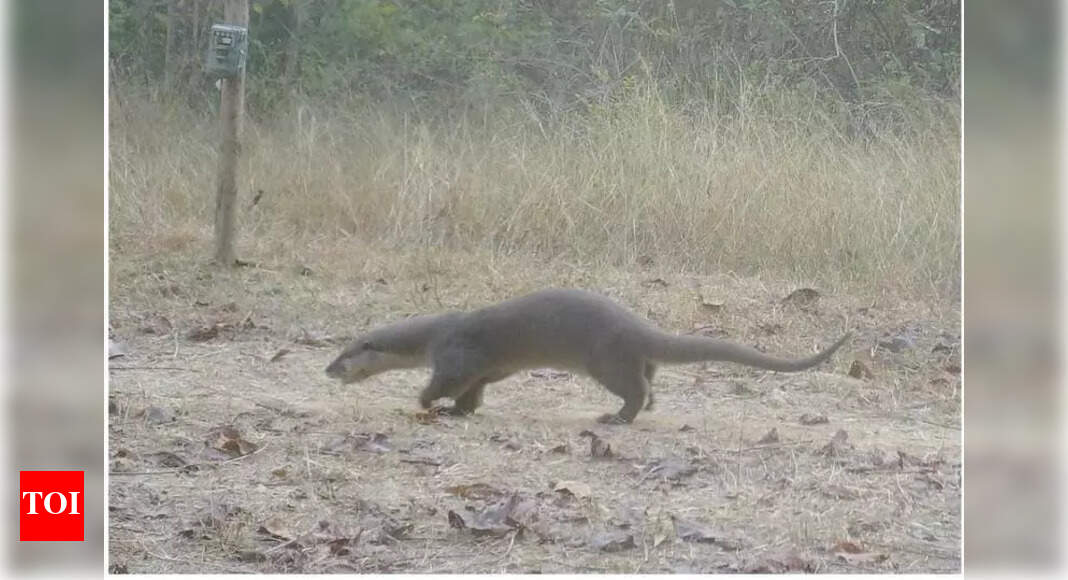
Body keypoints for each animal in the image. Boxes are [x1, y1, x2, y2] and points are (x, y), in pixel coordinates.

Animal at [326, 289, 849, 424]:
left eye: (343, 353)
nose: (327, 370)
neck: (432, 334)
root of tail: (638, 324)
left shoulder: (453, 354)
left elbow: (446, 381)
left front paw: (424, 402)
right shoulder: (488, 369)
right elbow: (473, 391)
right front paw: (460, 412)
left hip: (606, 360)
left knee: (634, 387)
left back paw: (616, 417)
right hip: (631, 356)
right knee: (651, 378)